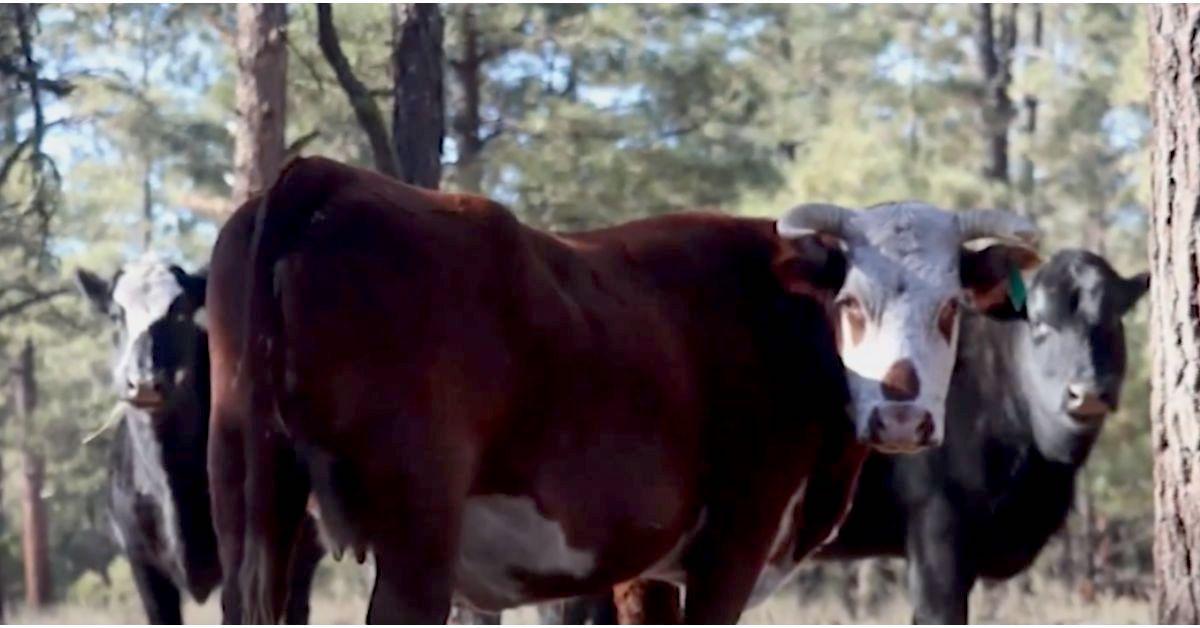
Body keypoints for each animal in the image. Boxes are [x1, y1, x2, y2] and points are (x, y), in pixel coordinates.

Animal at [205, 156, 1038, 623]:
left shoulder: (647, 569)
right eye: (851, 304)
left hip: (251, 504)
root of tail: (326, 176)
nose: (900, 414)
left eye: (950, 307)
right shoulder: (732, 545)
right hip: (417, 541)